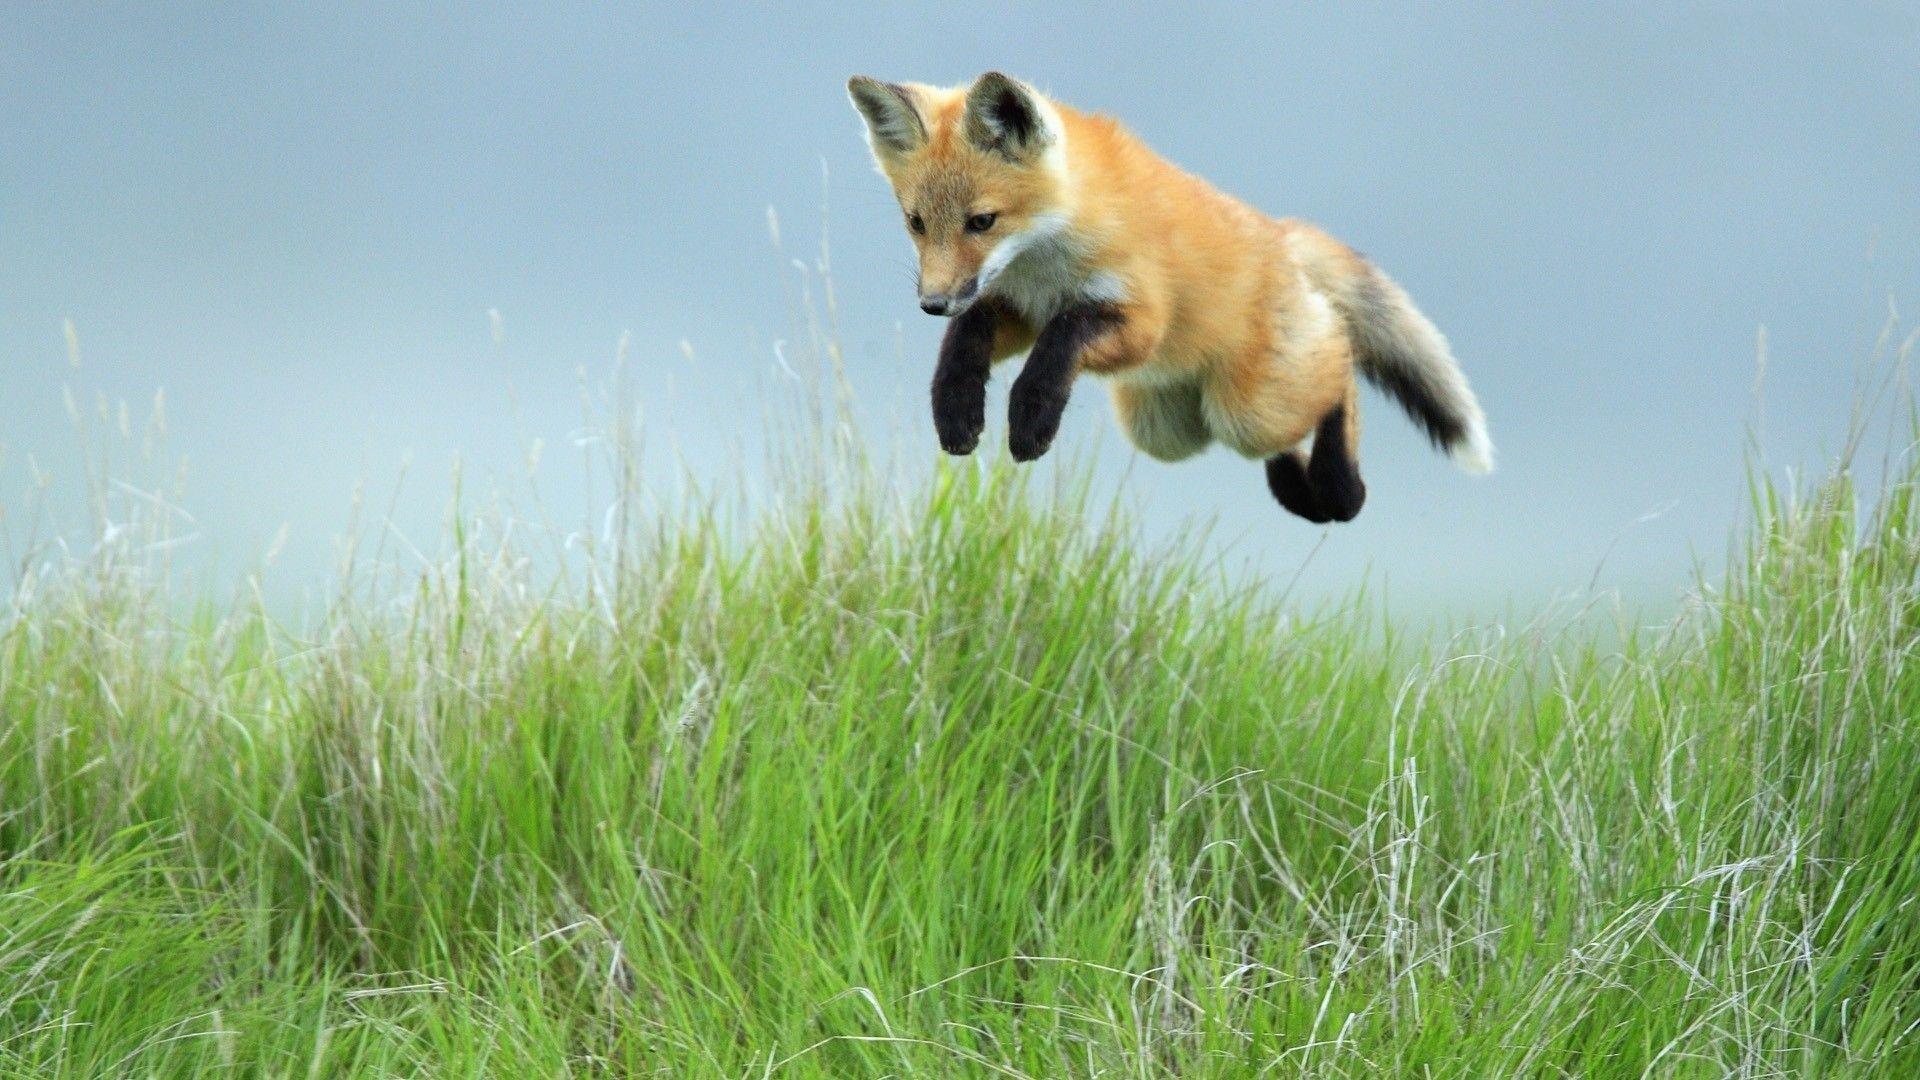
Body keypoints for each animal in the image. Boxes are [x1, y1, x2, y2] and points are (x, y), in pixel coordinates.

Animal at [846, 71, 1493, 523]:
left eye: (982, 221)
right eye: (916, 224)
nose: (931, 303)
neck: (1046, 263)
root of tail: (1282, 234)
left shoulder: (1138, 321)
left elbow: (1063, 339)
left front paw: (1032, 417)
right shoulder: (1015, 306)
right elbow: (966, 339)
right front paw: (955, 407)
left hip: (1248, 409)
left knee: (1341, 368)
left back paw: (1343, 487)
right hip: (1168, 430)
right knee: (1286, 429)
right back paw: (1304, 493)